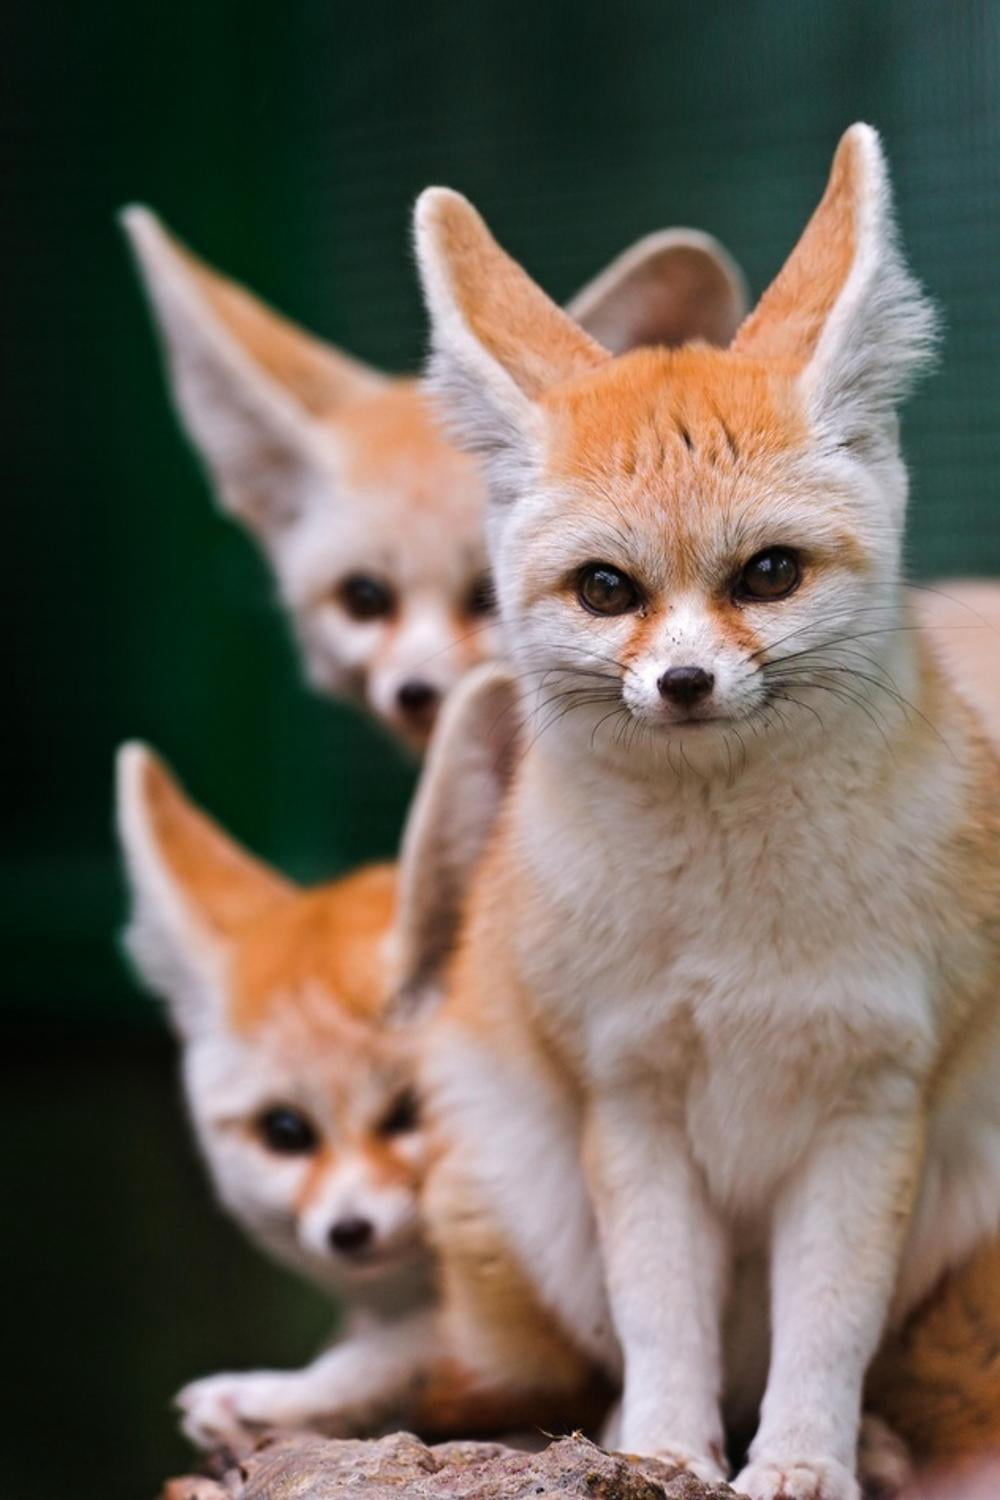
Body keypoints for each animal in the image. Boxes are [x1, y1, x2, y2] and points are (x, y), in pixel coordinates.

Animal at [402, 123, 1000, 1500]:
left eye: (767, 573)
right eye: (605, 590)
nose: (682, 683)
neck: (734, 912)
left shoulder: (867, 1102)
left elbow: (827, 1325)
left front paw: (803, 1464)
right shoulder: (631, 1101)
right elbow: (660, 1317)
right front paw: (667, 1452)